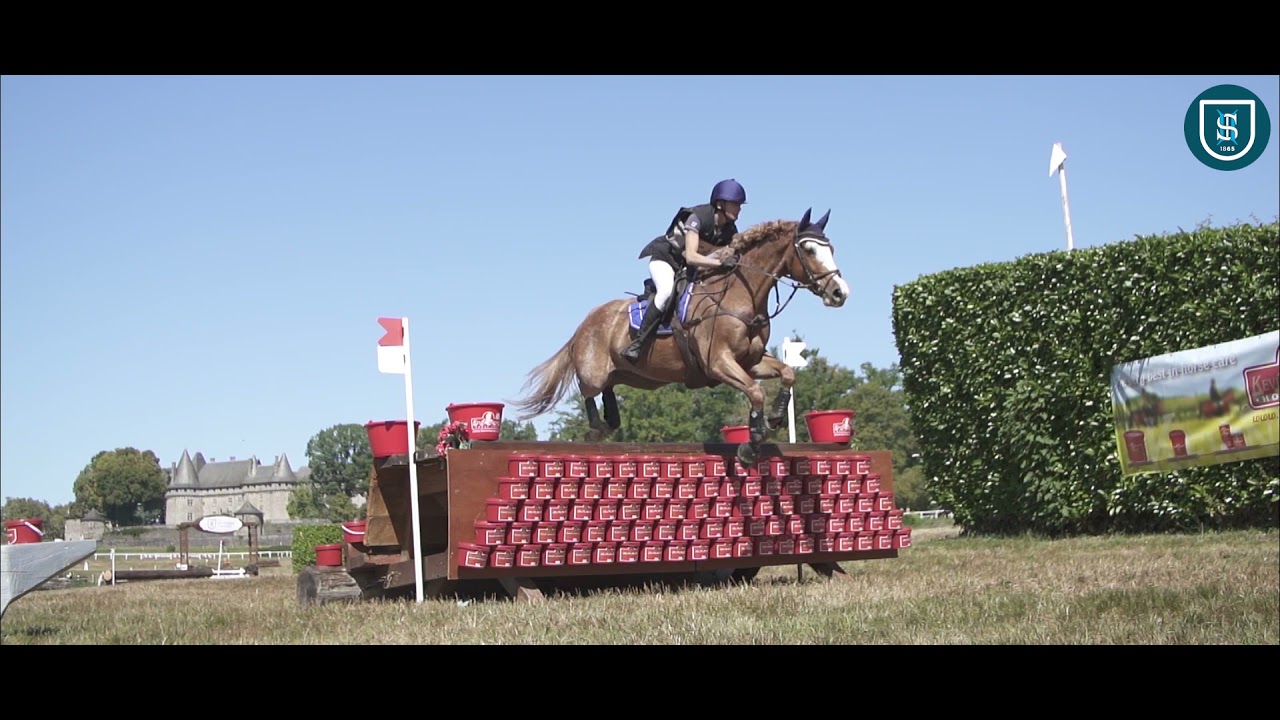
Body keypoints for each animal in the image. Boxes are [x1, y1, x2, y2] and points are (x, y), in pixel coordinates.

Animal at [507, 207, 850, 466]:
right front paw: (752, 442)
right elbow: (754, 393)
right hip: (594, 370)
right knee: (588, 390)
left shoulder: (750, 362)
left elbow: (788, 373)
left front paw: (776, 417)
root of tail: (584, 324)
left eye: (831, 249)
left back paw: (609, 421)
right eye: (809, 249)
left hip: (630, 375)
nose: (840, 293)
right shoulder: (719, 363)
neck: (742, 295)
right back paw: (596, 427)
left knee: (608, 392)